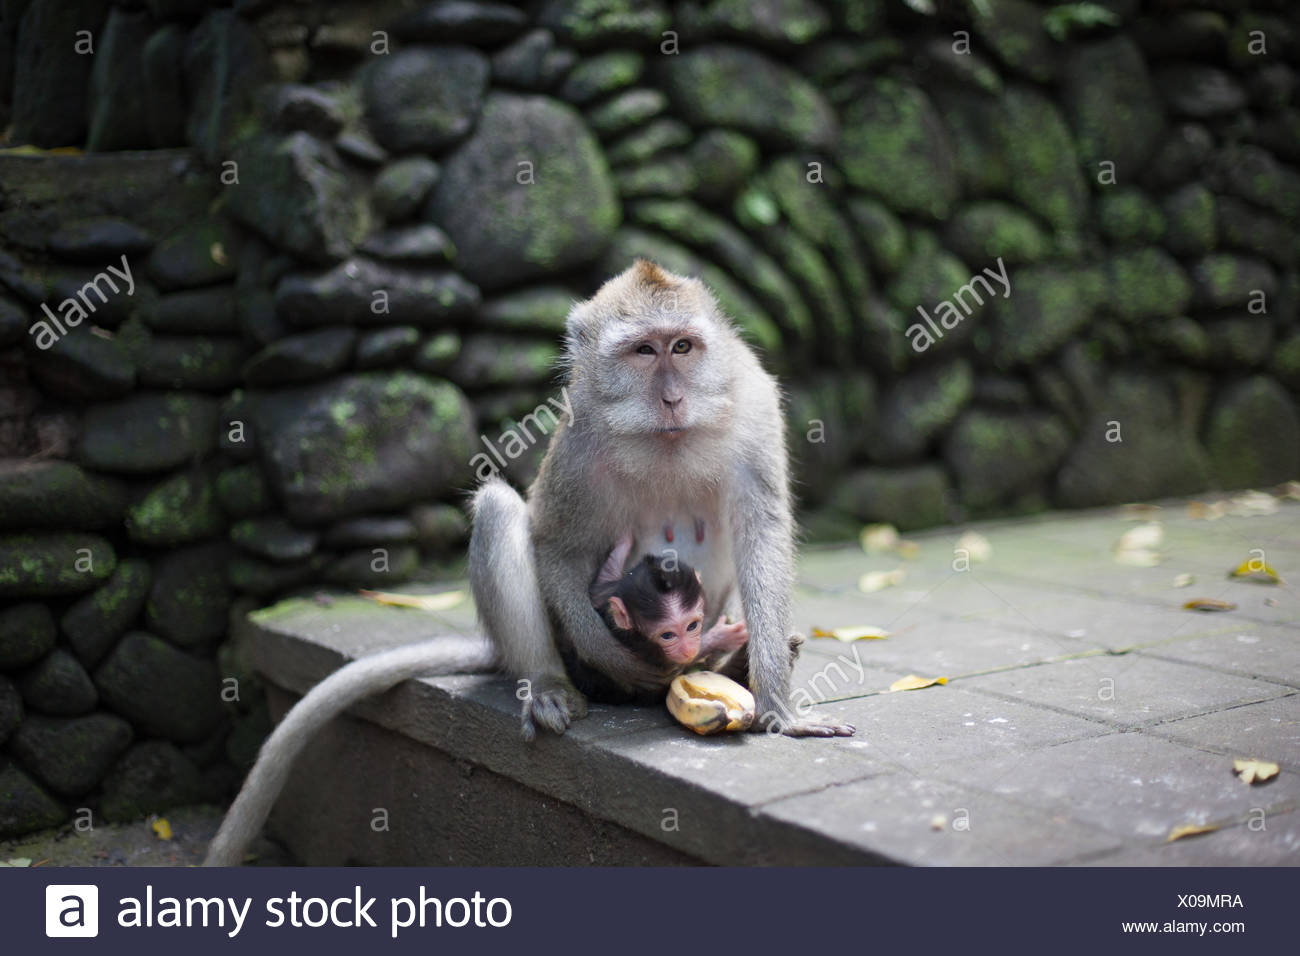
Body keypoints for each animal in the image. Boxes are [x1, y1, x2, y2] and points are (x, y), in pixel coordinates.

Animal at [203, 260, 851, 867]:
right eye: (644, 351)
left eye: (683, 347)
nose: (673, 398)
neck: (666, 437)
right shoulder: (580, 431)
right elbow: (555, 544)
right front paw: (617, 653)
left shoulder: (754, 406)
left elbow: (762, 533)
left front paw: (777, 703)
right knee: (497, 509)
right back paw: (548, 684)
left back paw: (731, 662)